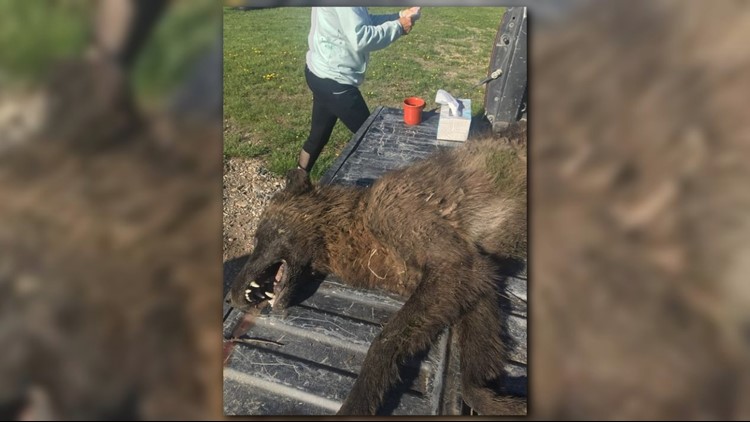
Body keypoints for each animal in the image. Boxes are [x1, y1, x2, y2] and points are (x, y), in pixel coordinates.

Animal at [229, 126, 527, 415]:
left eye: (259, 235)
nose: (232, 295)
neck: (356, 225)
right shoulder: (478, 281)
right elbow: (472, 384)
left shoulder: (456, 263)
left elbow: (383, 342)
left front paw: (357, 404)